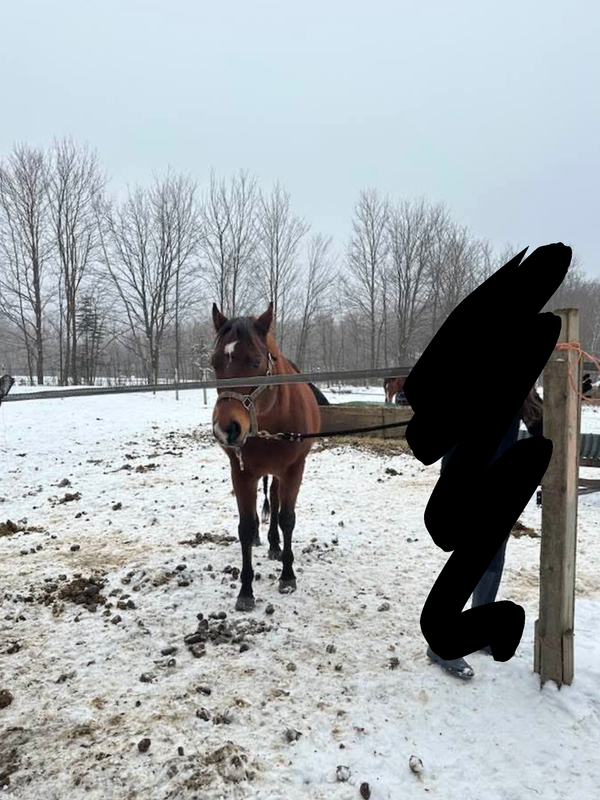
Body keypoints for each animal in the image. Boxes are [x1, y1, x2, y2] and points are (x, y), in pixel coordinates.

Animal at [211, 302, 321, 611]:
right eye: (214, 363)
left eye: (256, 362)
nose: (227, 428)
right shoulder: (241, 472)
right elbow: (246, 527)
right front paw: (246, 591)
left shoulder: (294, 469)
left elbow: (287, 519)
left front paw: (287, 576)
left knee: (274, 499)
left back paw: (274, 545)